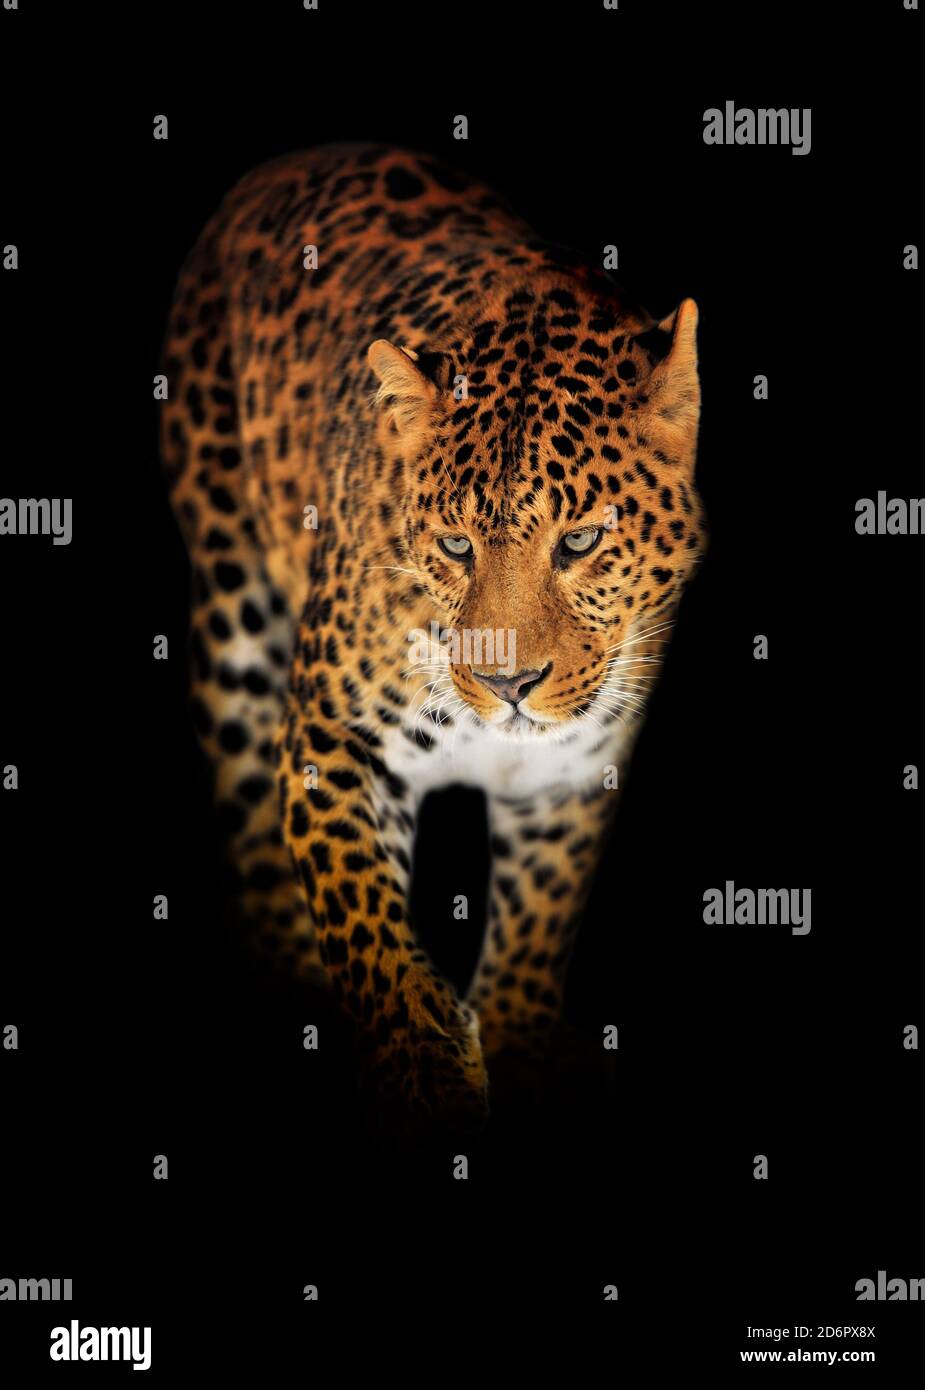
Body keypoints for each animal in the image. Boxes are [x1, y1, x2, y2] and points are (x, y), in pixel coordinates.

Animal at [160, 142, 707, 1132]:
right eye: (456, 545)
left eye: (580, 540)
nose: (509, 687)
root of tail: (294, 159)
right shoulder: (328, 738)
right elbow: (362, 918)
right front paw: (425, 1068)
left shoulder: (570, 773)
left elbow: (536, 925)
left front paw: (517, 1048)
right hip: (229, 599)